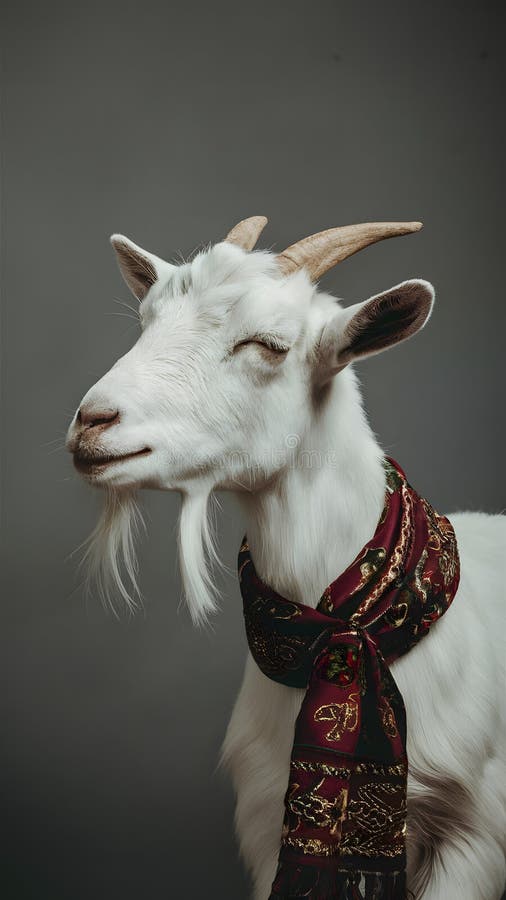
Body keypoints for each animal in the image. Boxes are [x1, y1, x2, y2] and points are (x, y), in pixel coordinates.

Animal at [66, 216, 506, 899]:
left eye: (268, 343)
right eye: (146, 319)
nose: (93, 422)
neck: (345, 628)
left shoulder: (472, 834)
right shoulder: (267, 820)